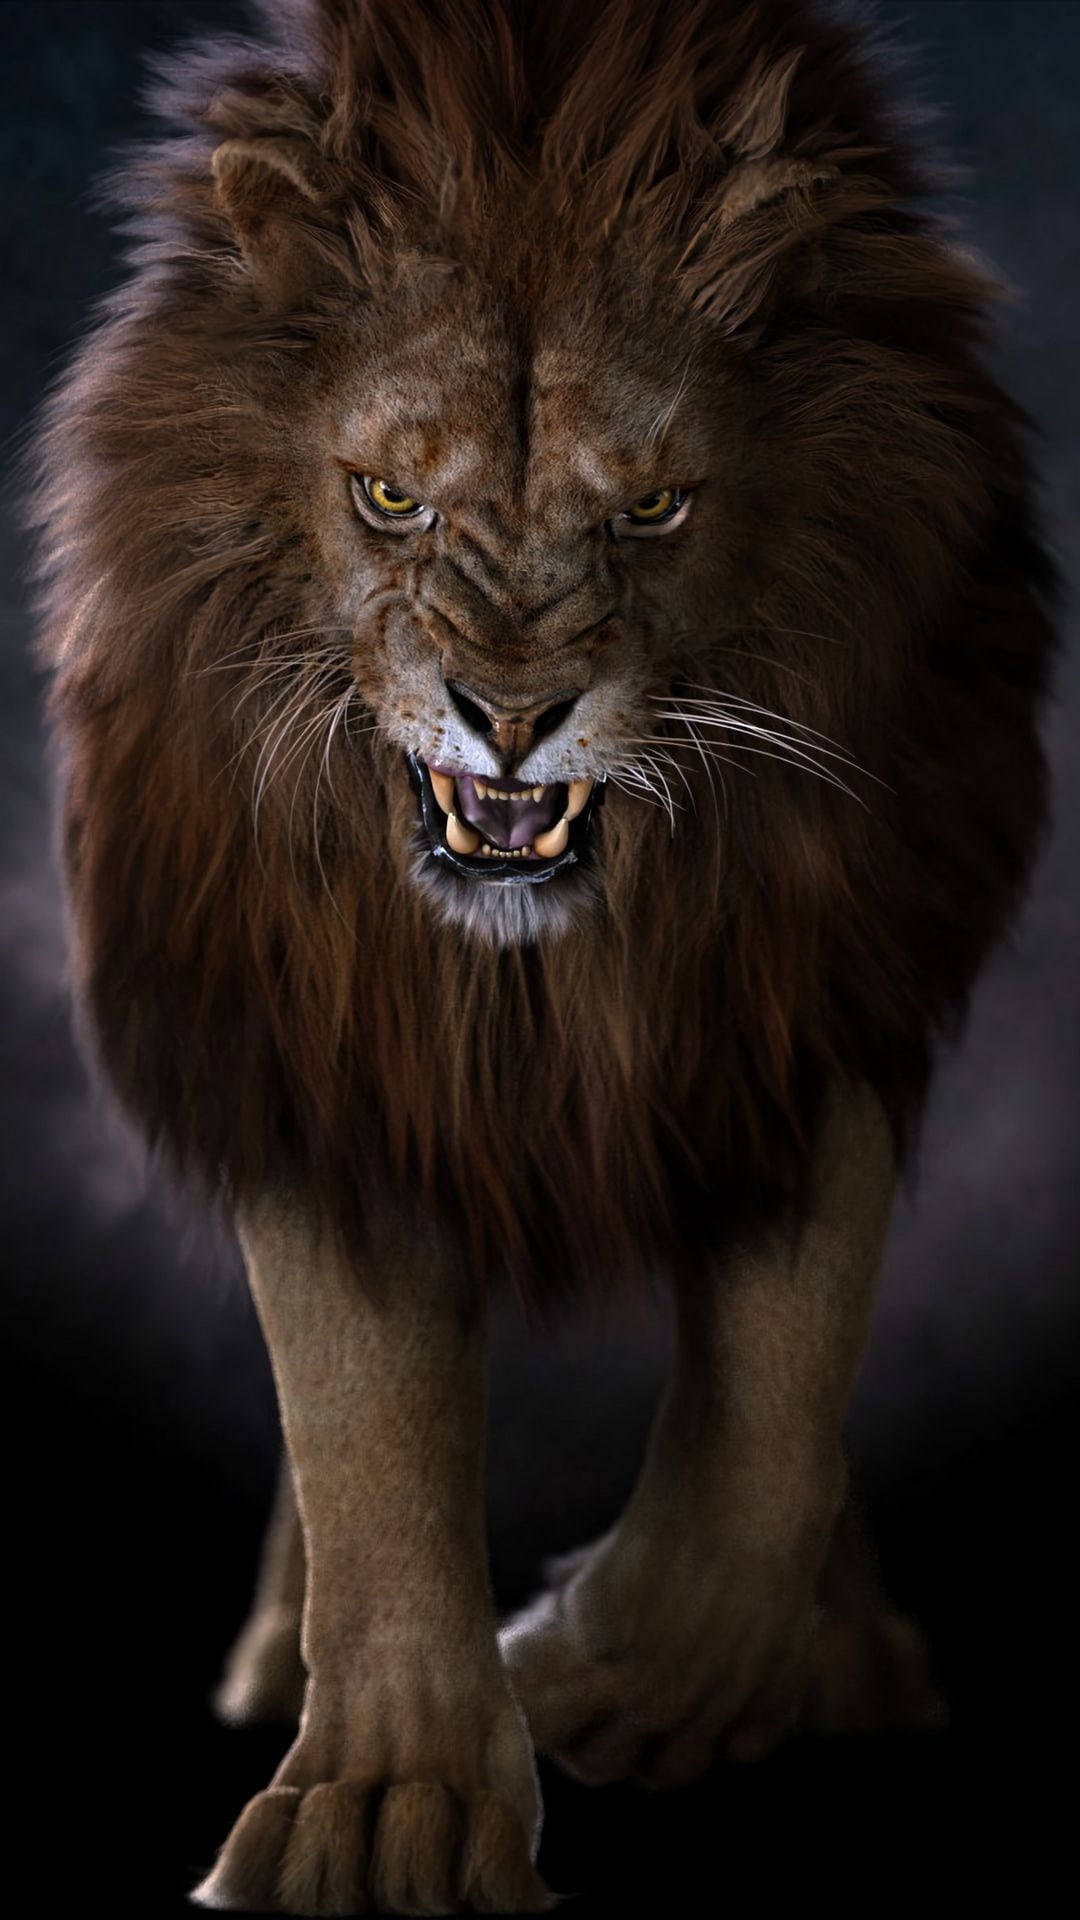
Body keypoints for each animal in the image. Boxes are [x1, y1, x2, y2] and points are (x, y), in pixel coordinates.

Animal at [30, 0, 1055, 1912]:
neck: (541, 963)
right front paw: (389, 1804)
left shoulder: (807, 984)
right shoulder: (321, 1028)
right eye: (385, 496)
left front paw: (628, 1675)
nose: (510, 717)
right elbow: (363, 1429)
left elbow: (778, 1399)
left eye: (652, 508)